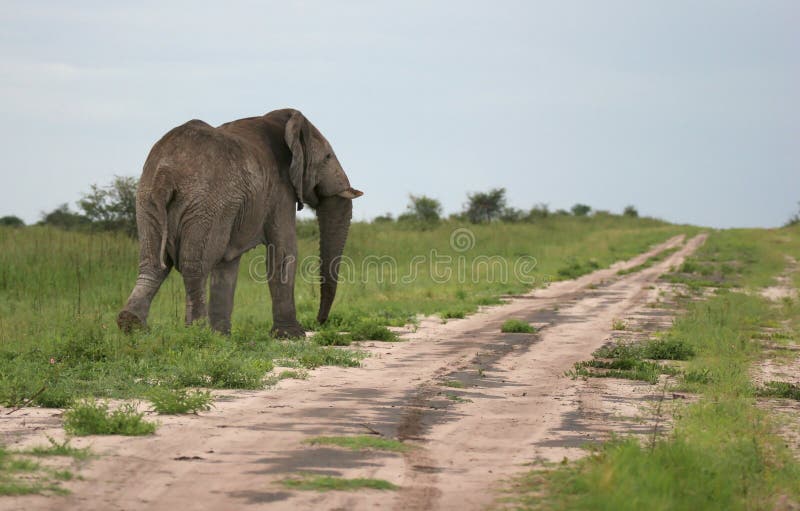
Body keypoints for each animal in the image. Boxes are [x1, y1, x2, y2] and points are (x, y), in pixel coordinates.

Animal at [116, 108, 363, 338]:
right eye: (328, 157)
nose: (319, 322)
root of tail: (165, 174)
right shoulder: (280, 189)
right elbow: (285, 251)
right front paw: (292, 336)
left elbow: (228, 263)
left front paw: (222, 337)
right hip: (206, 204)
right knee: (195, 266)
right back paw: (196, 332)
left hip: (148, 202)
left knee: (153, 264)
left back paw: (132, 324)